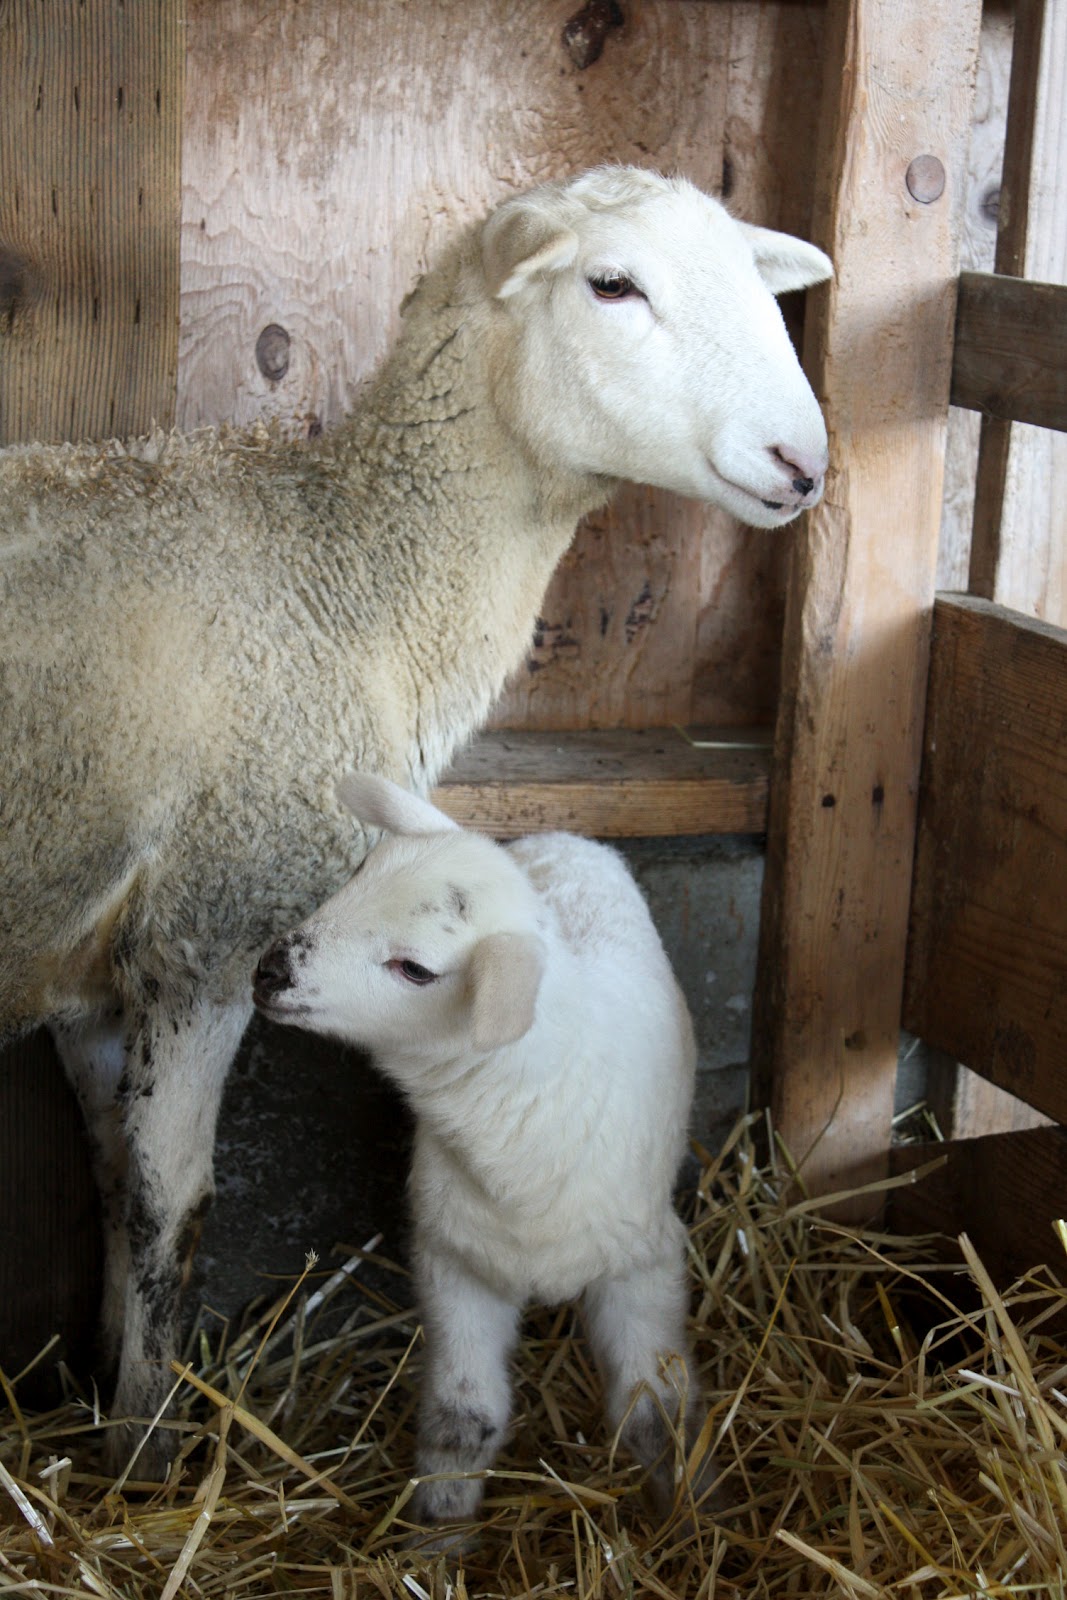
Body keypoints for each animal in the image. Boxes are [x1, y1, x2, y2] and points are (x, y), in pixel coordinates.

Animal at [253, 771, 709, 1529]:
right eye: (359, 872)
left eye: (414, 969)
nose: (268, 971)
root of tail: (562, 833)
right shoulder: (457, 1261)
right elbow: (463, 1418)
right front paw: (436, 1536)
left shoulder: (642, 1264)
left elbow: (655, 1416)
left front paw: (693, 1512)